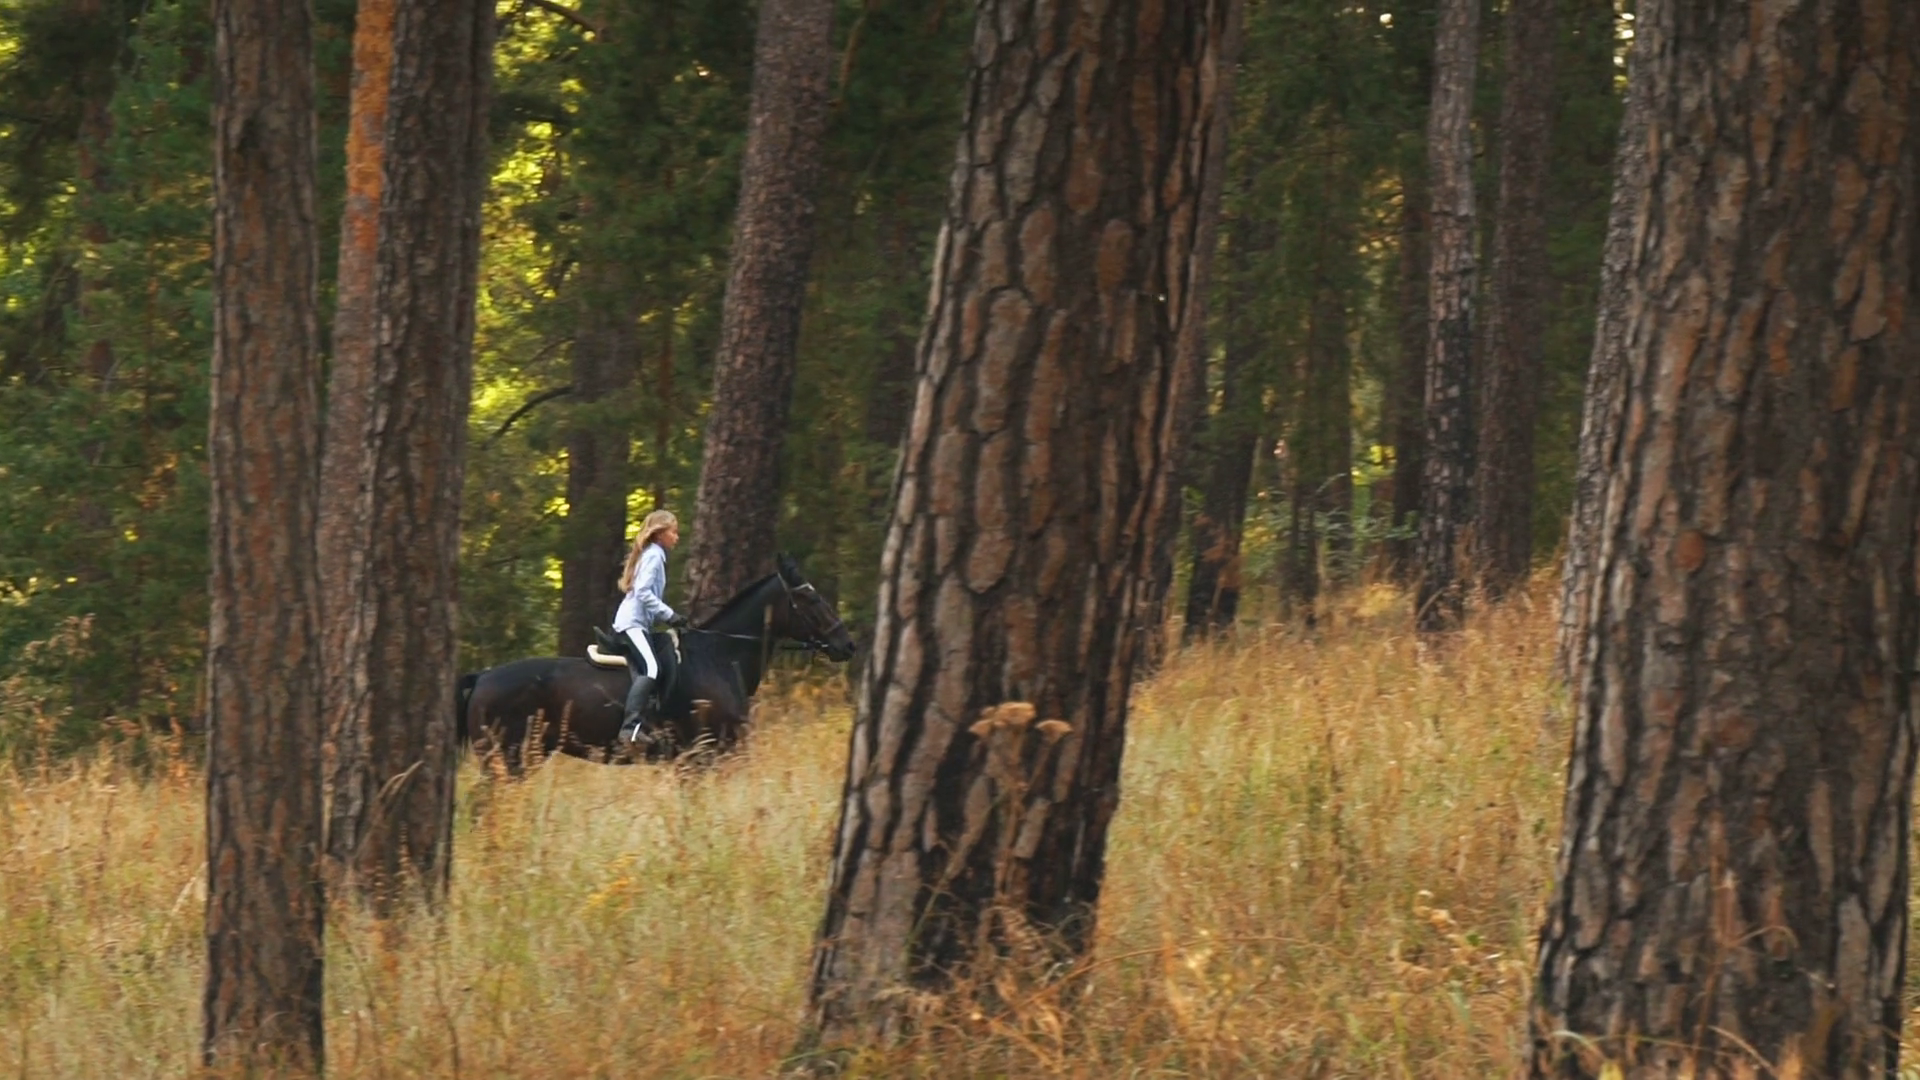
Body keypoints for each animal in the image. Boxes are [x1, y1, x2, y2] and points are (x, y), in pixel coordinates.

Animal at [456, 554, 856, 774]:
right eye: (812, 599)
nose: (847, 645)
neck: (720, 656)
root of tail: (483, 677)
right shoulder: (704, 756)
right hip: (507, 758)